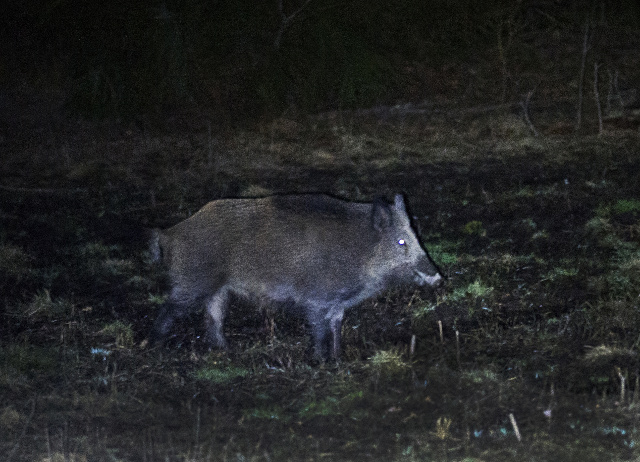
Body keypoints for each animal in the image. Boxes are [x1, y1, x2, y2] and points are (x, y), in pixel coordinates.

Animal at [150, 193, 442, 360]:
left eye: (416, 235)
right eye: (401, 241)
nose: (439, 277)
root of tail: (170, 234)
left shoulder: (337, 305)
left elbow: (336, 327)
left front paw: (339, 358)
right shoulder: (316, 300)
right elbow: (320, 331)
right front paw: (320, 361)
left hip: (218, 290)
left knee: (213, 318)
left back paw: (226, 351)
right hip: (192, 282)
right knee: (169, 310)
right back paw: (154, 345)